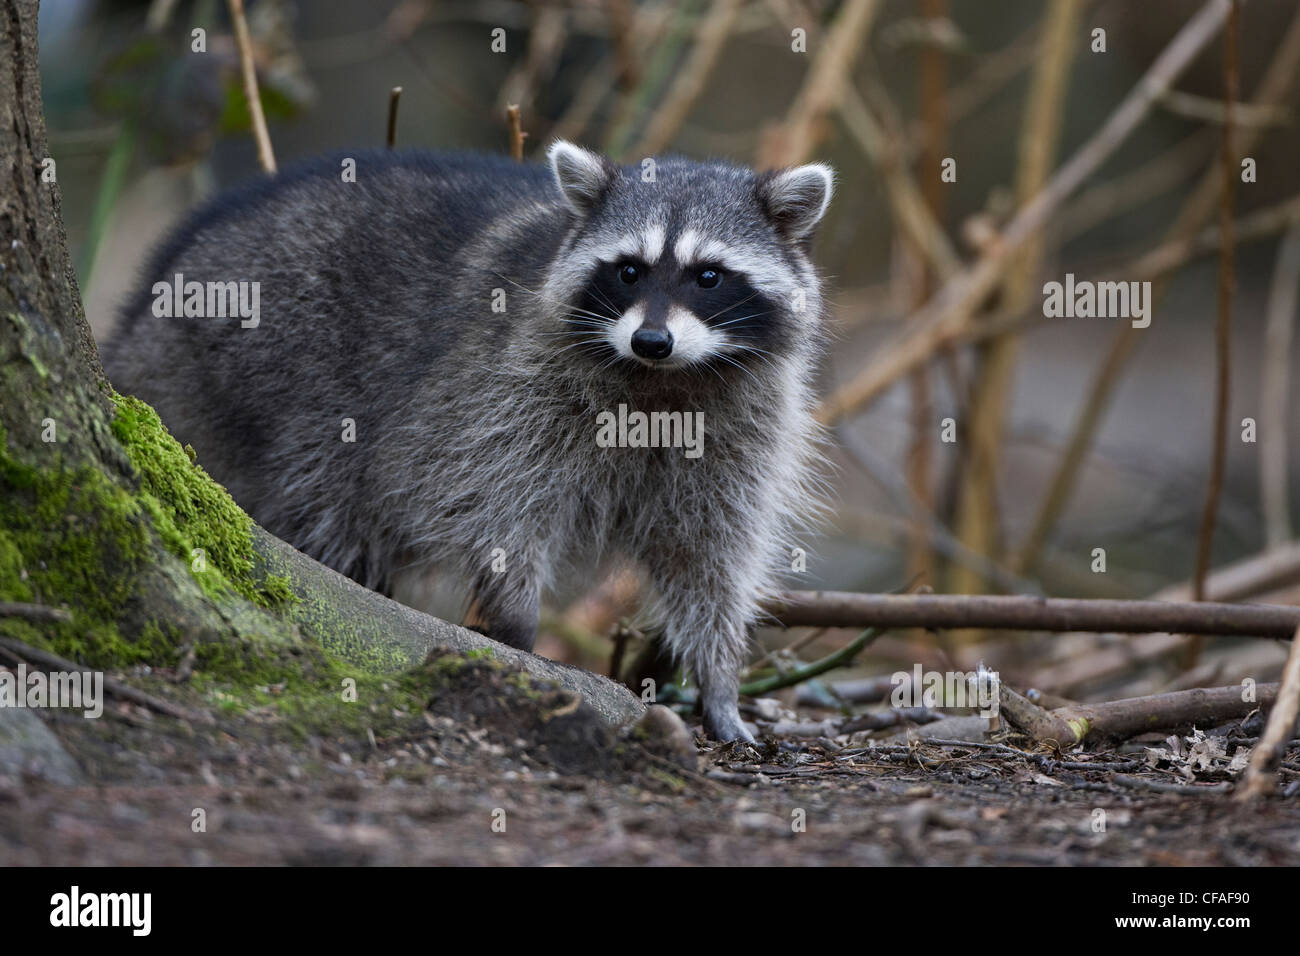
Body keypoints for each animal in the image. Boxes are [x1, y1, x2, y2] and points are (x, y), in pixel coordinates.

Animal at [103, 141, 834, 742]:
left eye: (708, 275)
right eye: (629, 270)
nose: (651, 339)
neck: (662, 380)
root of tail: (147, 304)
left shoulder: (740, 425)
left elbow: (710, 552)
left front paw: (718, 674)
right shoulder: (504, 388)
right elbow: (497, 501)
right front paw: (515, 616)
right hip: (268, 369)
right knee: (324, 505)